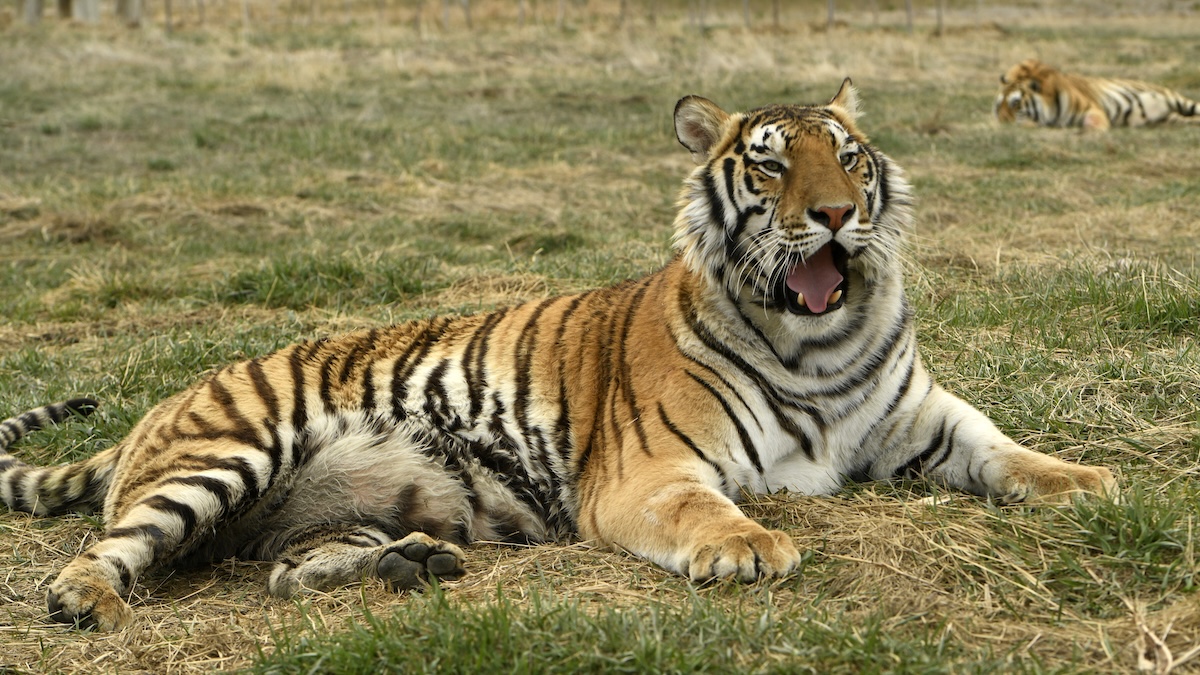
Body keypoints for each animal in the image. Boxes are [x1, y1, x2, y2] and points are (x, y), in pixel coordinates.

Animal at [1, 80, 1117, 631]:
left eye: (846, 156)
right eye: (768, 164)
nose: (838, 215)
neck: (820, 342)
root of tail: (159, 406)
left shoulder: (922, 416)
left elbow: (1004, 447)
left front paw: (1088, 481)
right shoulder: (651, 474)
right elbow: (710, 511)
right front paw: (751, 547)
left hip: (359, 503)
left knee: (286, 572)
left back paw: (411, 567)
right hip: (227, 456)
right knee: (110, 548)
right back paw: (87, 601)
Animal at [994, 58, 1200, 131]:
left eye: (1016, 104)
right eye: (998, 108)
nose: (1002, 124)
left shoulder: (1092, 108)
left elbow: (1096, 122)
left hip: (1180, 101)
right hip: (1171, 119)